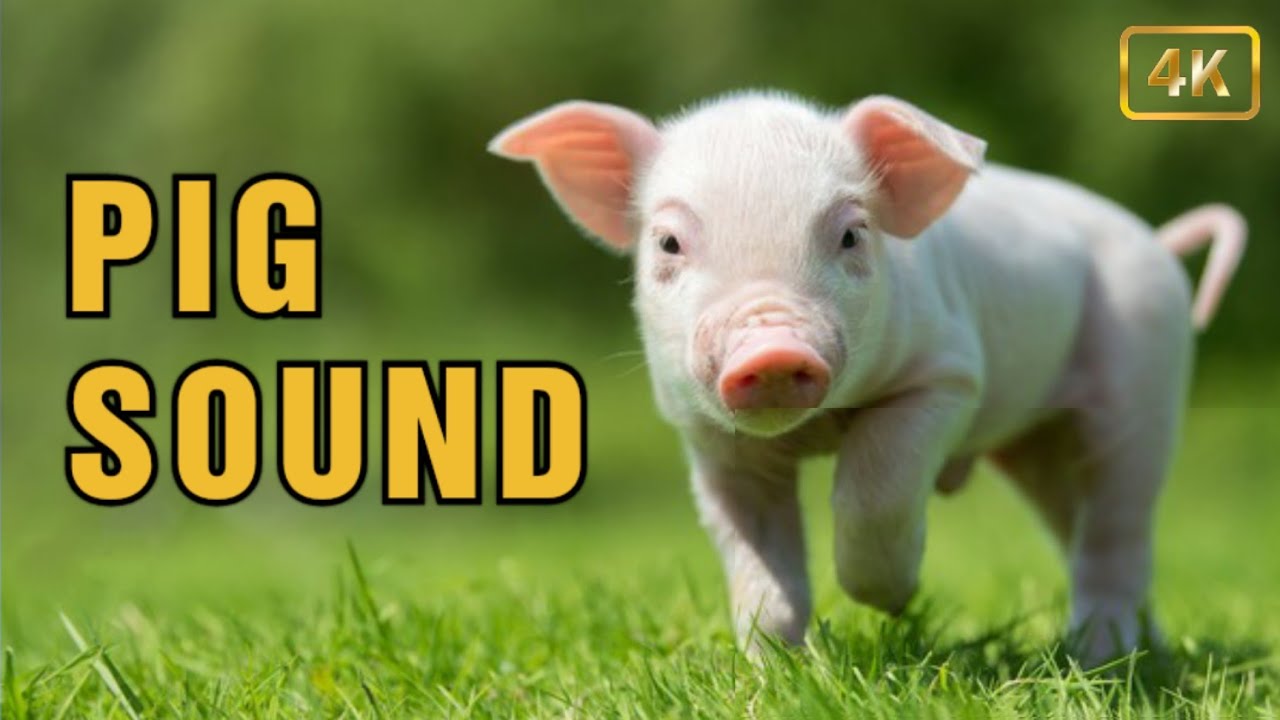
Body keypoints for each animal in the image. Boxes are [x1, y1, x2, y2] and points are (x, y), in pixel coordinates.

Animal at [487, 91, 1246, 664]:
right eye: (668, 243)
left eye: (851, 235)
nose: (770, 348)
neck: (816, 431)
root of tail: (1157, 240)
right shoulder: (709, 439)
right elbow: (757, 558)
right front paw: (771, 670)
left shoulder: (946, 376)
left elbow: (872, 488)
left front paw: (893, 602)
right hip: (1038, 446)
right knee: (1078, 525)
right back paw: (1143, 649)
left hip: (1143, 384)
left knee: (1120, 527)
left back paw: (1102, 656)